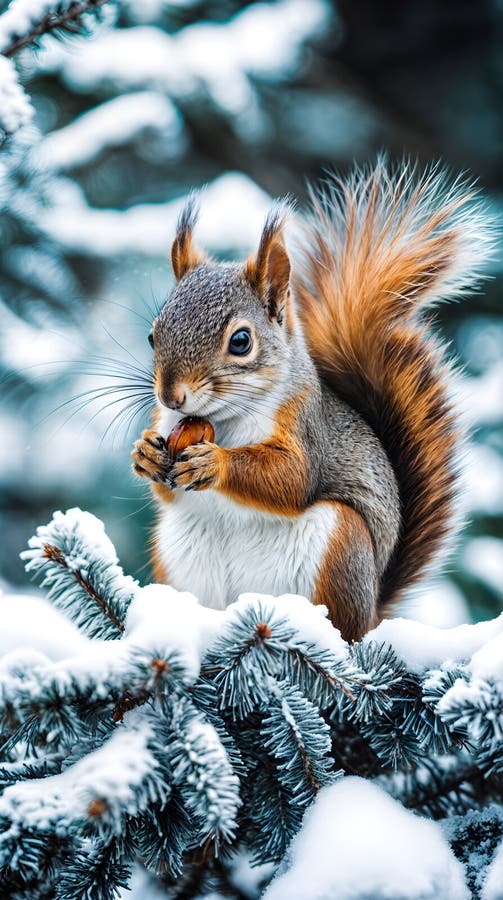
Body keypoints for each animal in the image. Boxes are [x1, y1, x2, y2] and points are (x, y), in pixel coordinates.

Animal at [131, 160, 492, 642]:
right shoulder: (167, 422)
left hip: (339, 546)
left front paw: (216, 463)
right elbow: (164, 488)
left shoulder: (305, 426)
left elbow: (293, 477)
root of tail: (373, 610)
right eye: (153, 336)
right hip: (176, 556)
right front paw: (144, 454)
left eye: (241, 341)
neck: (220, 420)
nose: (171, 394)